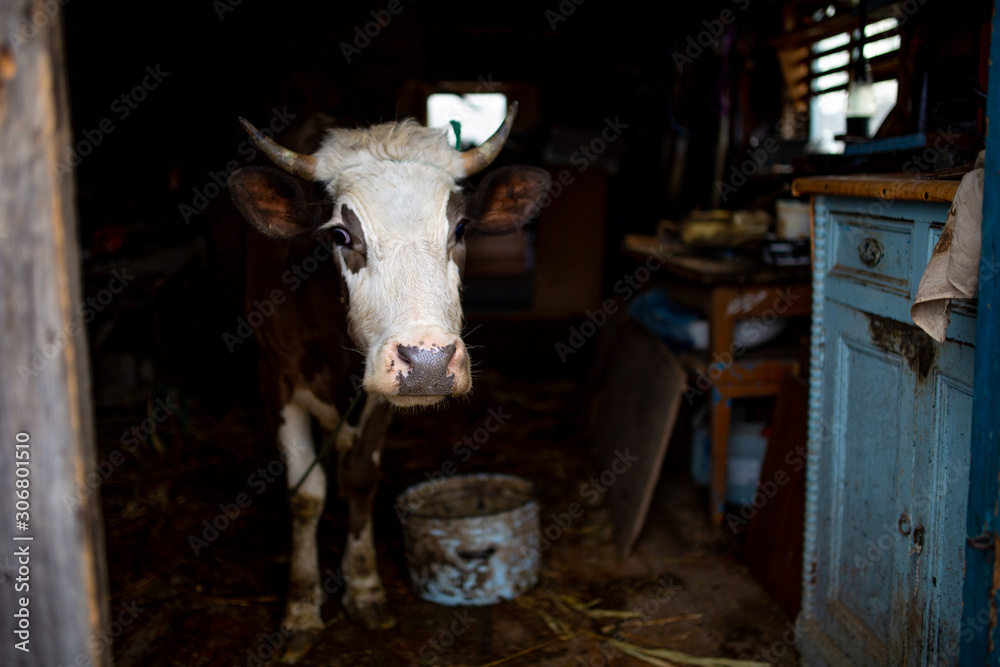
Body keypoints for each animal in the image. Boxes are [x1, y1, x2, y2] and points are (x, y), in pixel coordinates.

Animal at [227, 102, 550, 661]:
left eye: (460, 229)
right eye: (340, 235)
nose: (429, 360)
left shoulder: (382, 394)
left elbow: (359, 476)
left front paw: (364, 587)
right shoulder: (276, 376)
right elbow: (306, 493)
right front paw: (301, 610)